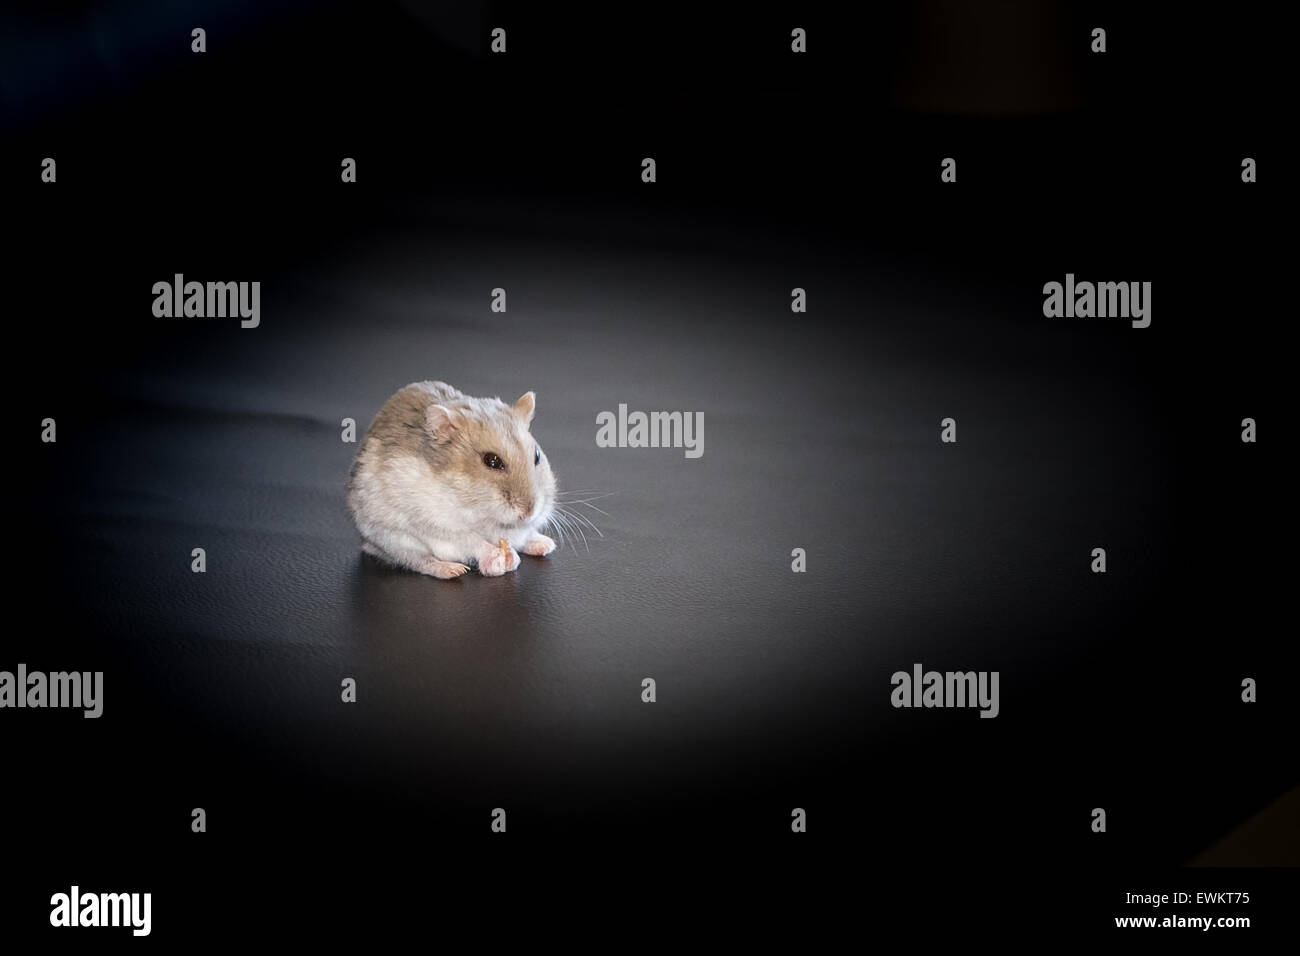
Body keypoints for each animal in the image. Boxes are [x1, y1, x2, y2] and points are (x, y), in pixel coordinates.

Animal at [346, 381, 558, 578]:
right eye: (492, 461)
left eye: (537, 456)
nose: (528, 513)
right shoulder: (438, 525)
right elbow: (472, 540)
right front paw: (499, 561)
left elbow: (517, 536)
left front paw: (512, 556)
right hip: (392, 539)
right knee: (419, 561)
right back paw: (452, 570)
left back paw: (546, 544)